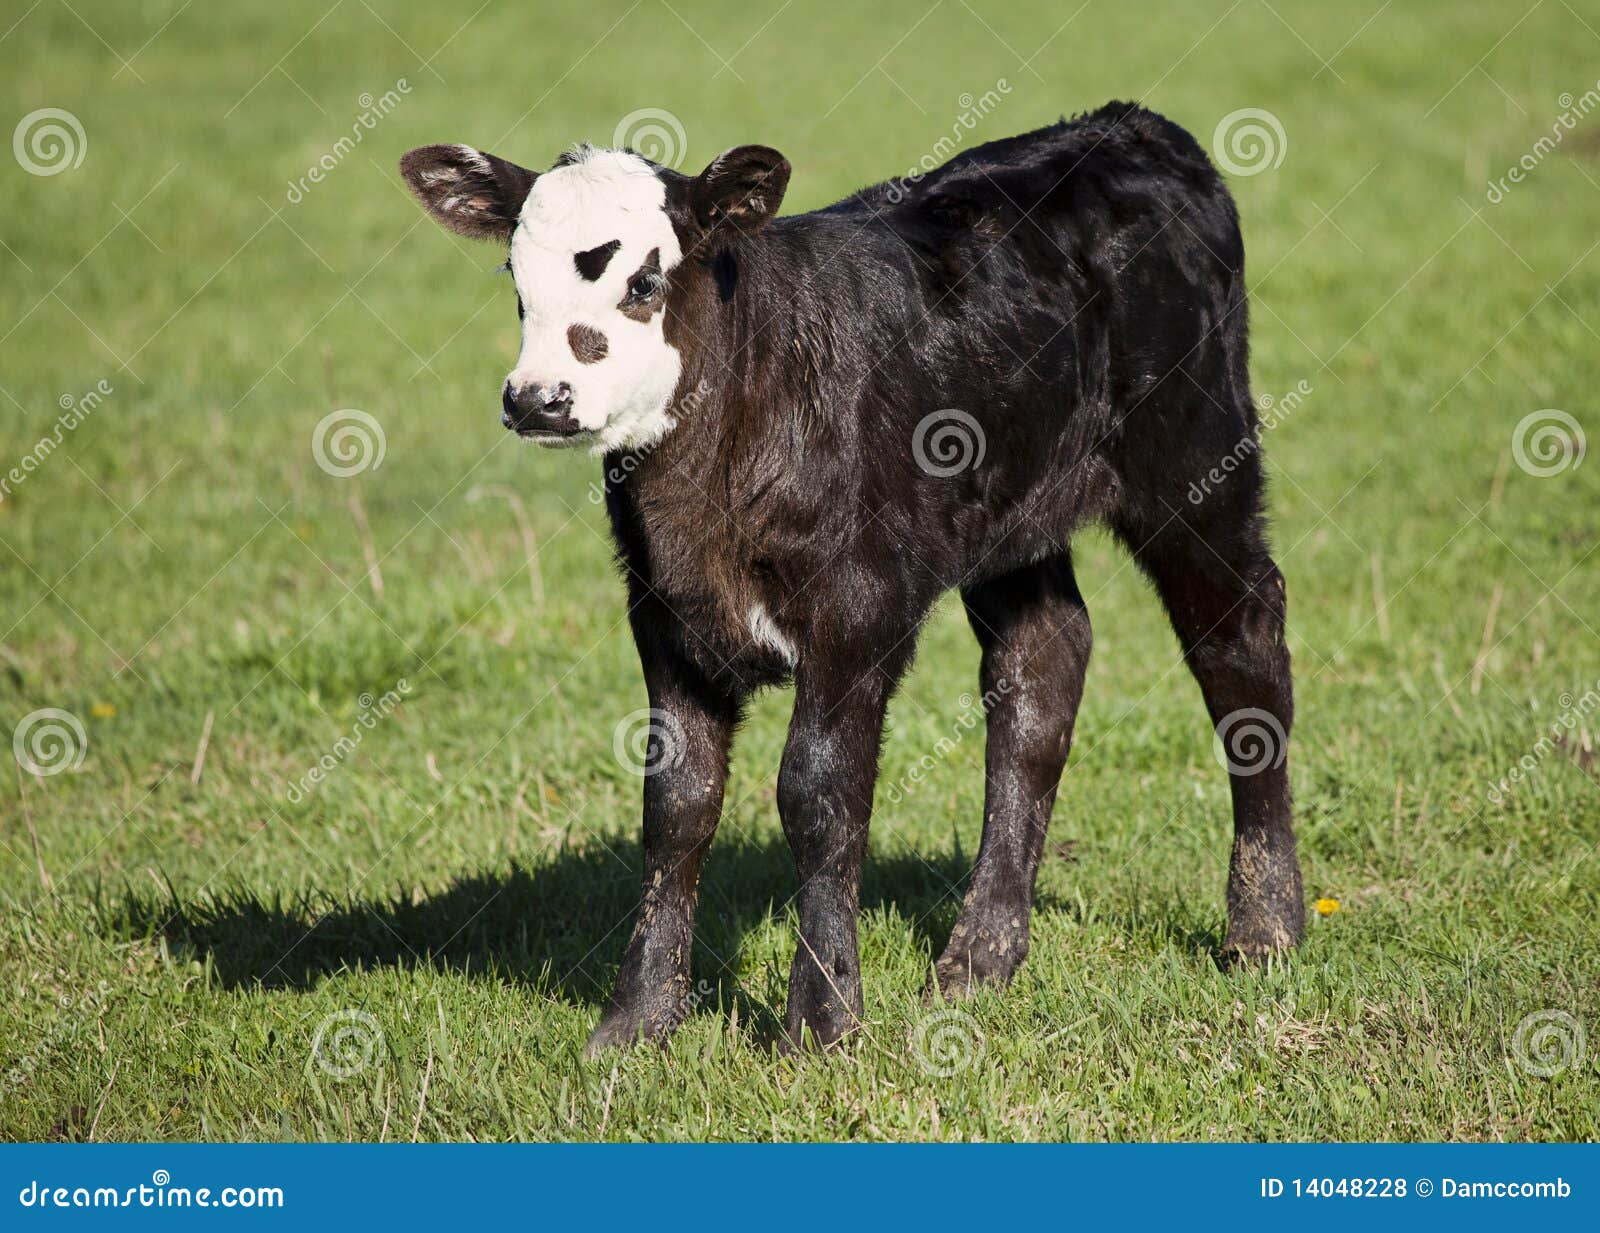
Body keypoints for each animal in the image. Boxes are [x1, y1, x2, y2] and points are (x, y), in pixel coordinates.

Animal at [399, 100, 1304, 1056]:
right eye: (516, 277)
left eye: (643, 281)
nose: (537, 398)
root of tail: (1130, 125)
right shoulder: (662, 613)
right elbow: (677, 803)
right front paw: (637, 1019)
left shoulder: (860, 609)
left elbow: (819, 791)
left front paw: (822, 1019)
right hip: (1011, 513)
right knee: (1042, 668)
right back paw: (979, 956)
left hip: (1197, 456)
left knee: (1241, 643)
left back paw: (1264, 928)